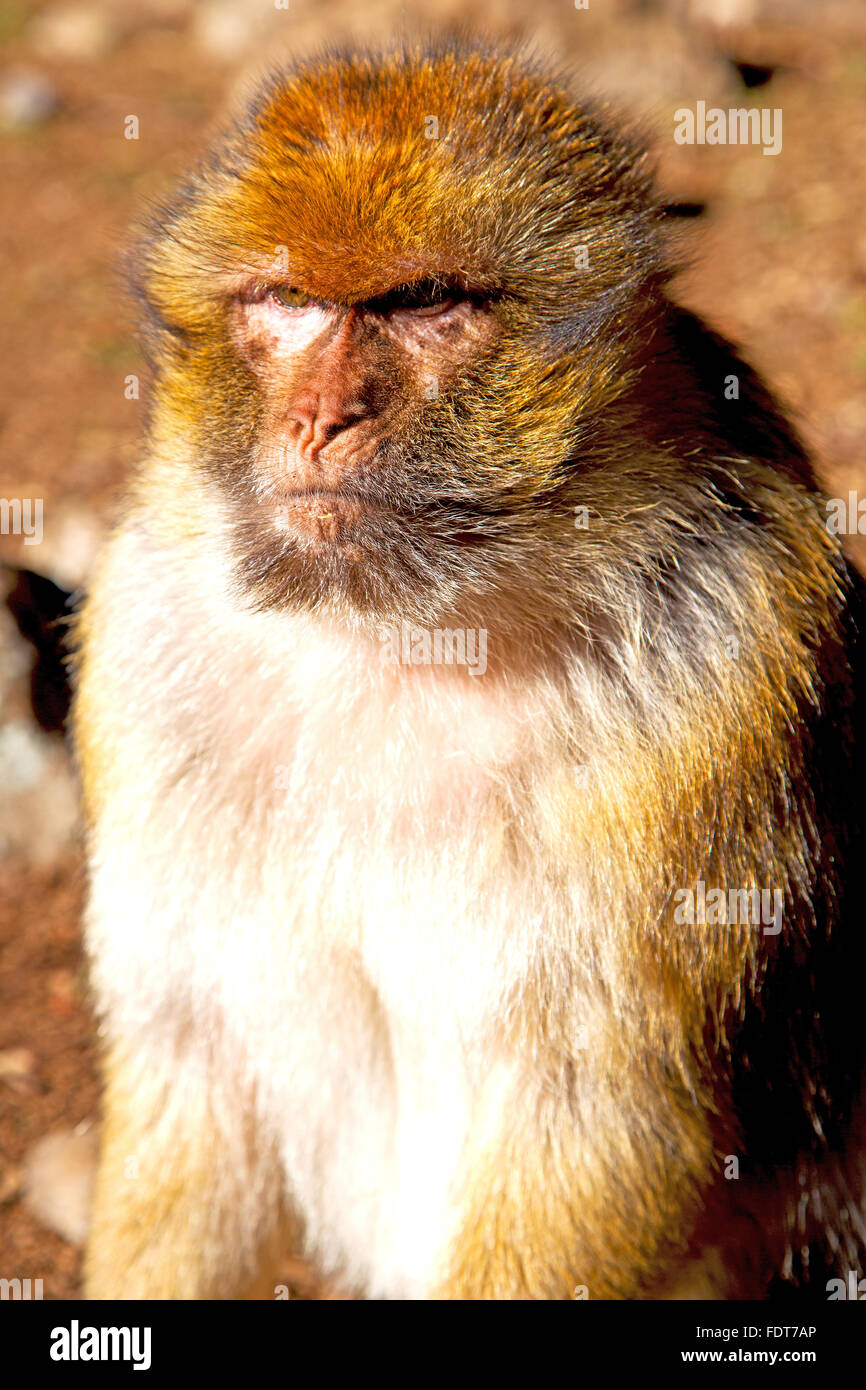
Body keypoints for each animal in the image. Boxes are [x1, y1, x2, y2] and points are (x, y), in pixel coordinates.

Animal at [72, 39, 866, 1301]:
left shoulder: (718, 675)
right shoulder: (144, 651)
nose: (319, 417)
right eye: (285, 305)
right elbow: (193, 1076)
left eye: (424, 306)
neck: (397, 636)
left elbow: (587, 1119)